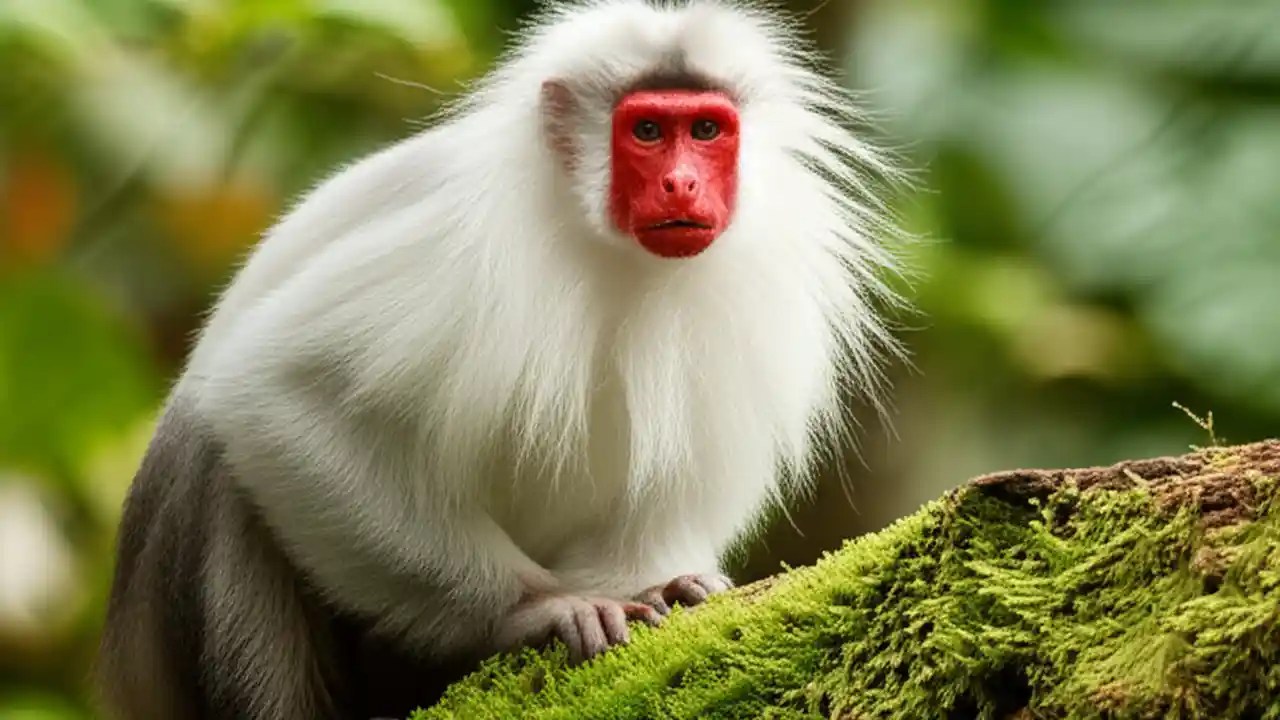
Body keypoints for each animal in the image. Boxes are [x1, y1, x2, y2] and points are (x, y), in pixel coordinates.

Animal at [95, 1, 903, 718]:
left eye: (705, 130)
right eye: (647, 131)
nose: (683, 184)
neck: (618, 257)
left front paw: (658, 589)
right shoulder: (461, 246)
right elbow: (275, 392)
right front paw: (536, 609)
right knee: (212, 444)